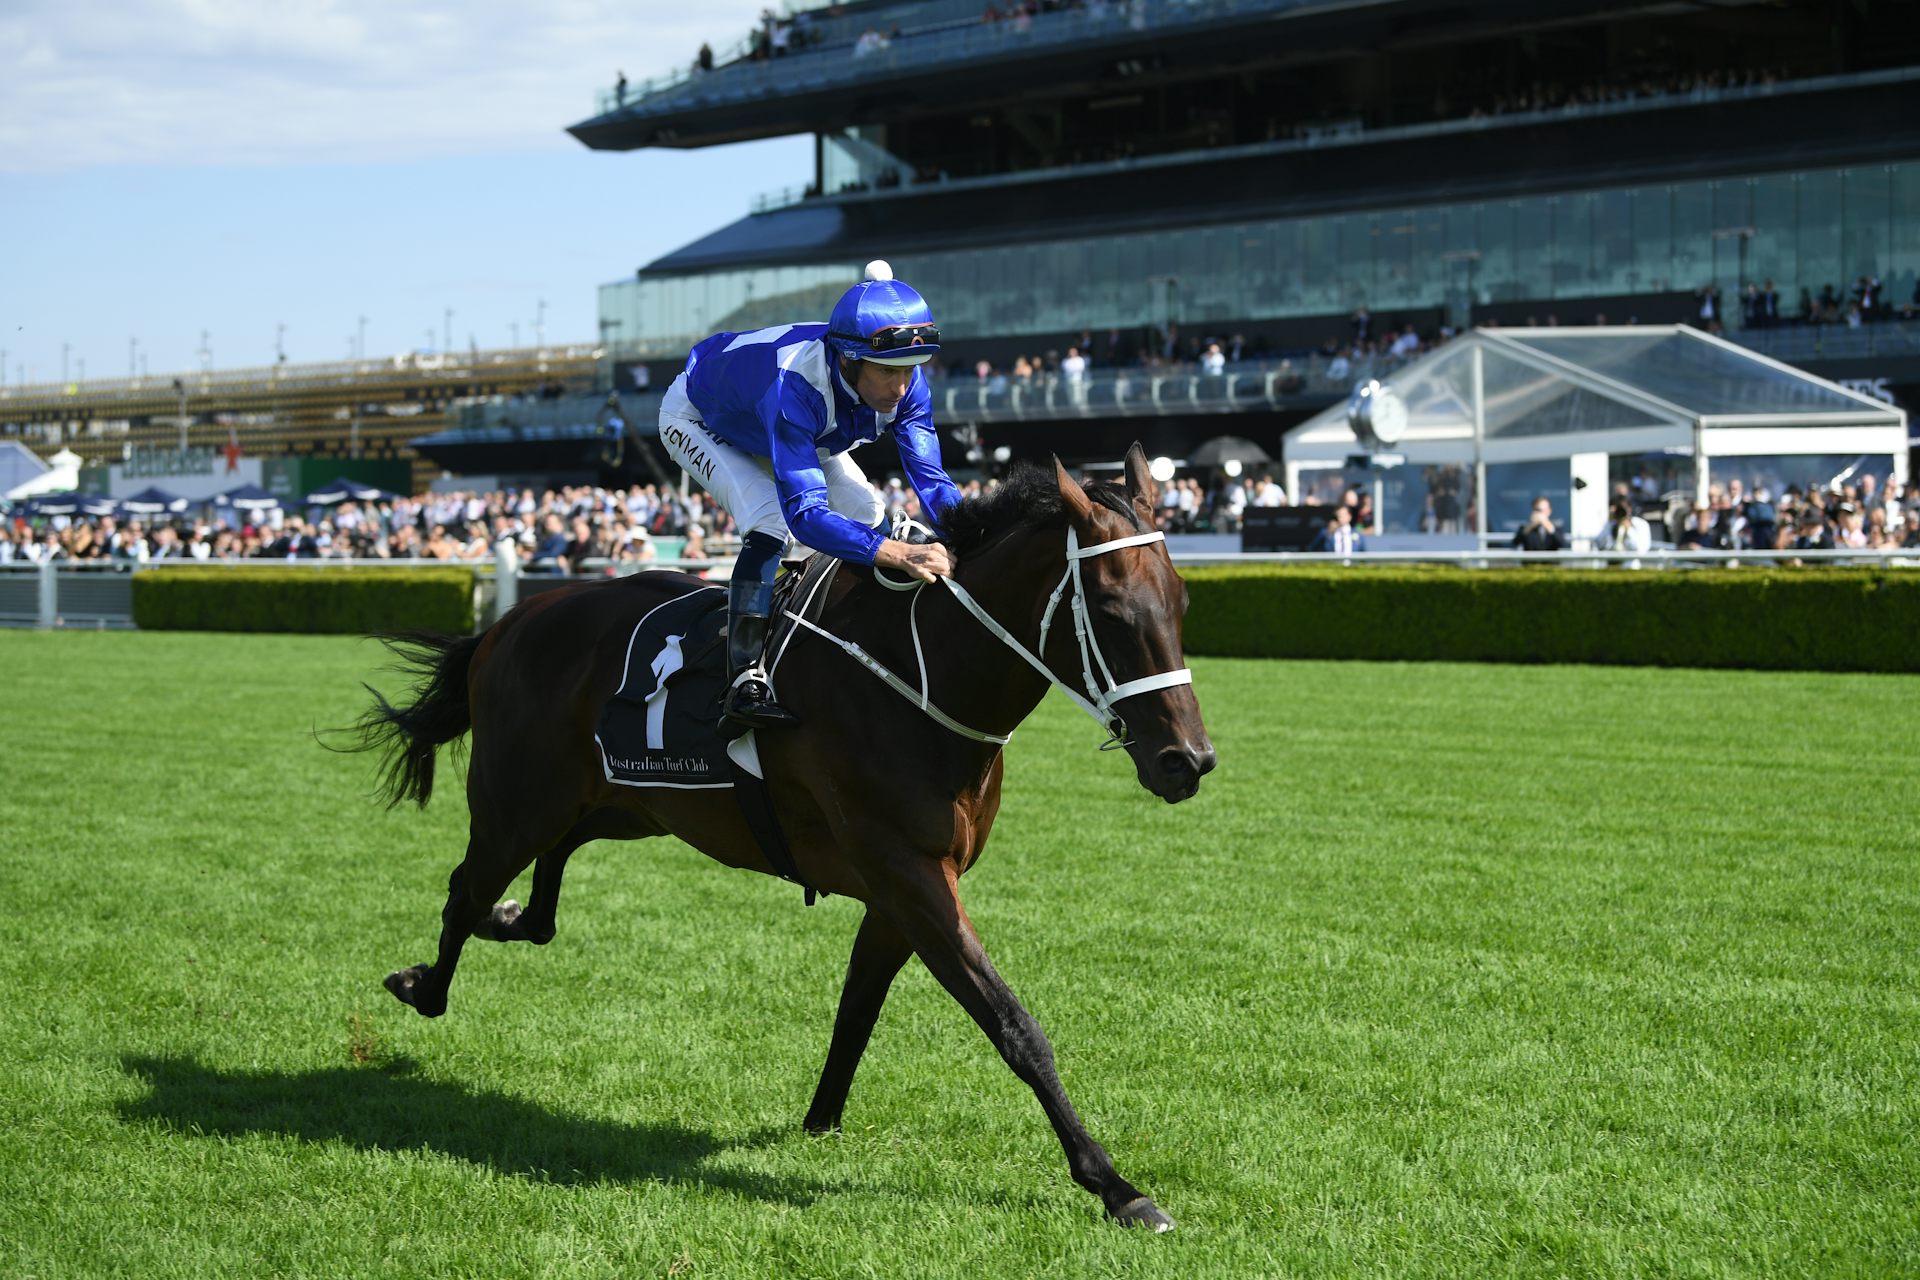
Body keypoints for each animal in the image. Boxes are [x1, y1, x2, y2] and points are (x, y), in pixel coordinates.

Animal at [354, 444, 1215, 1230]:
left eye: (1181, 603)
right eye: (1112, 613)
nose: (1188, 761)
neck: (918, 672)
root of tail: (509, 622)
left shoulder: (900, 889)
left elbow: (857, 1008)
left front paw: (819, 1121)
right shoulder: (910, 874)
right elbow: (1014, 1025)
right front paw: (1116, 1185)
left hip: (623, 803)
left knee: (538, 892)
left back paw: (507, 924)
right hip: (517, 805)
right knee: (466, 890)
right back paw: (423, 985)